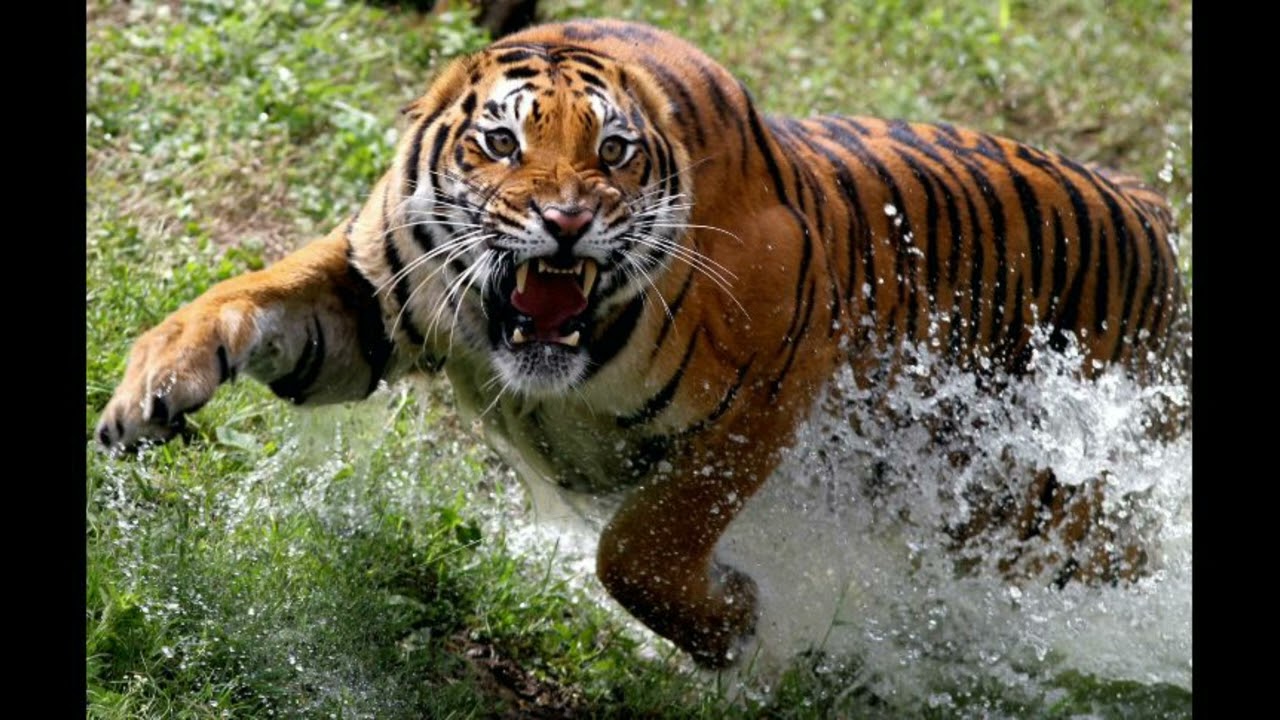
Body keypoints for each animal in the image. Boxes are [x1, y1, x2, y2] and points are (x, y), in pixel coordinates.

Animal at [95, 19, 1190, 668]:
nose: (567, 222)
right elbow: (245, 296)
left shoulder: (770, 392)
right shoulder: (368, 301)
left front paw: (734, 620)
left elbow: (641, 545)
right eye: (501, 143)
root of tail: (1144, 205)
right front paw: (147, 391)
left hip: (1052, 515)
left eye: (613, 152)